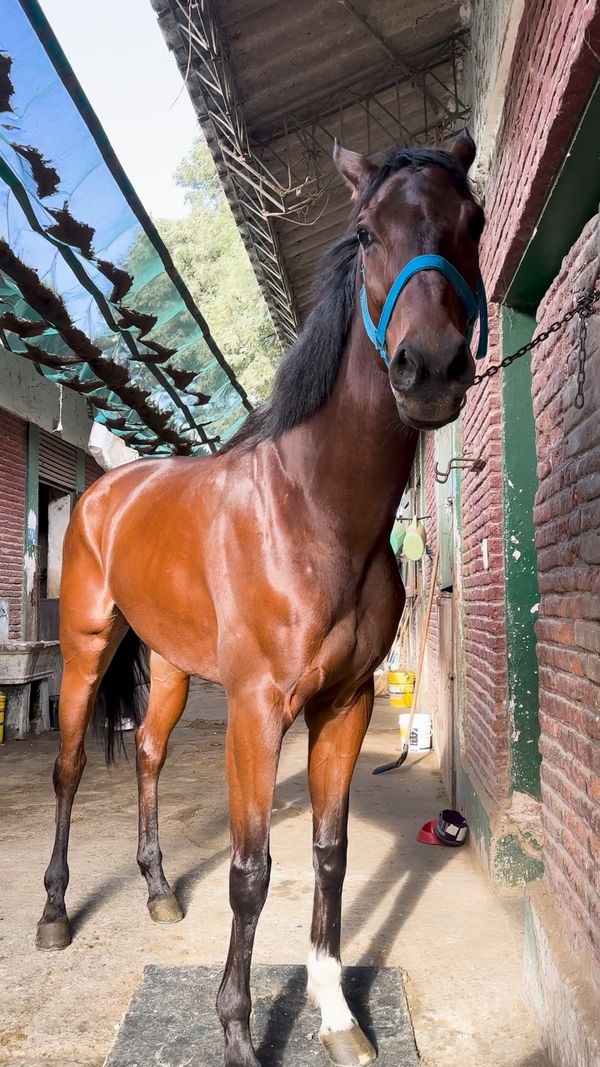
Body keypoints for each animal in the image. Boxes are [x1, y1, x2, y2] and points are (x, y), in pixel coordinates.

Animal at [36, 130, 485, 1067]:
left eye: (473, 220)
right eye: (367, 231)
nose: (429, 368)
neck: (314, 508)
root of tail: (104, 490)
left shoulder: (345, 705)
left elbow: (329, 854)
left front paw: (338, 1013)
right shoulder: (256, 707)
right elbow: (252, 872)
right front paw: (240, 1031)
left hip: (170, 666)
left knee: (148, 756)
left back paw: (160, 890)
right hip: (88, 651)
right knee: (68, 769)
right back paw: (55, 912)